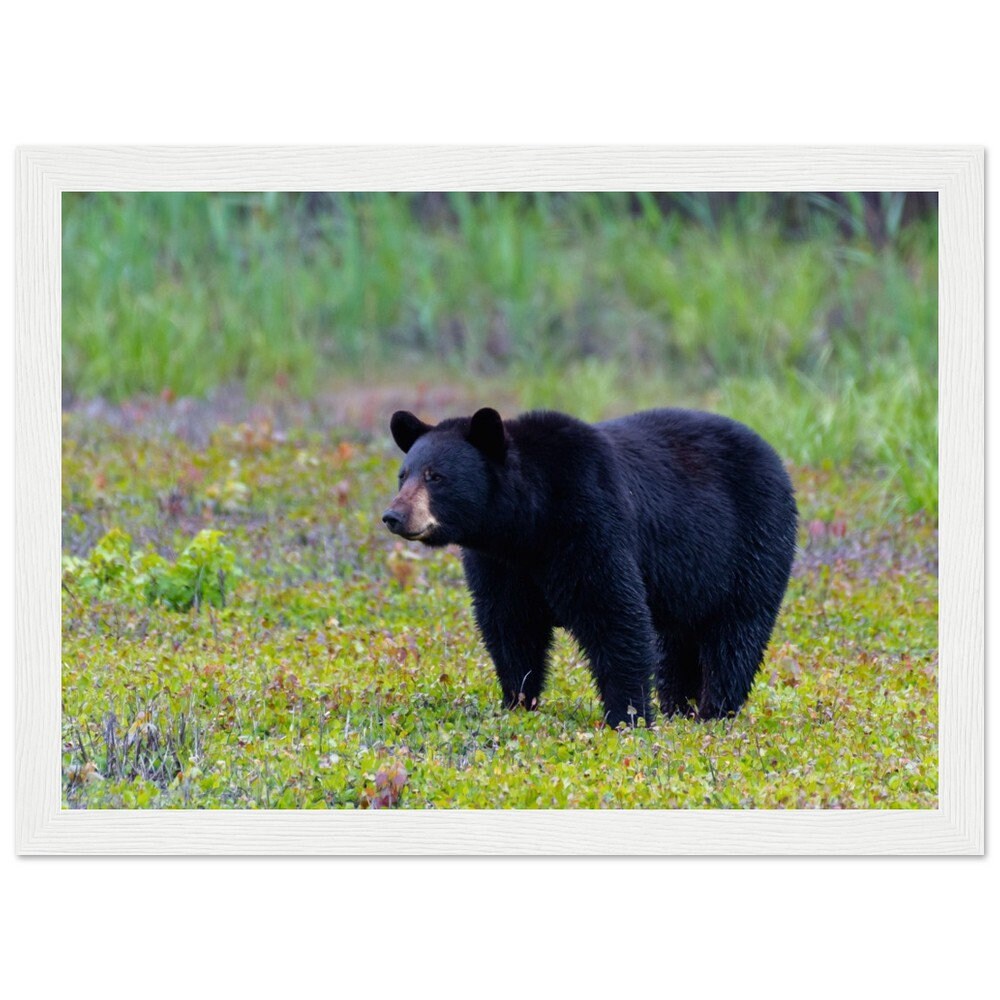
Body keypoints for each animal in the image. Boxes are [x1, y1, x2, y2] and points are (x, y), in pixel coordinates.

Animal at [382, 406, 797, 727]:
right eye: (403, 474)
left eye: (436, 476)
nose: (394, 516)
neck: (529, 524)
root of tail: (774, 455)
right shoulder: (501, 563)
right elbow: (510, 625)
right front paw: (517, 701)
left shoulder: (589, 521)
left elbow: (614, 614)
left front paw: (627, 716)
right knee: (678, 641)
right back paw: (679, 707)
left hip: (753, 541)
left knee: (737, 632)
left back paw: (715, 710)